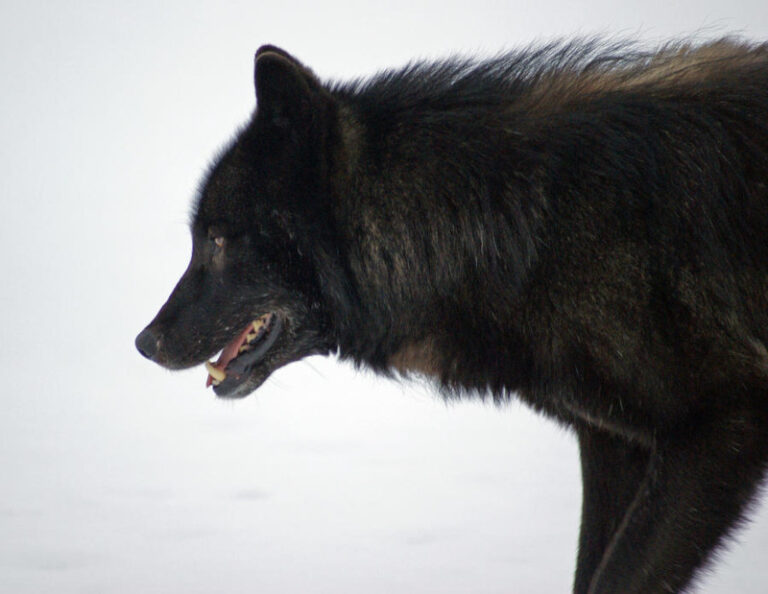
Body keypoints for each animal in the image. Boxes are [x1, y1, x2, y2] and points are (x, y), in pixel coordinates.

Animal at [136, 39, 768, 592]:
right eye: (201, 238)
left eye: (218, 239)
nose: (144, 342)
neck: (524, 228)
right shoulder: (615, 443)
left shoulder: (719, 426)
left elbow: (618, 578)